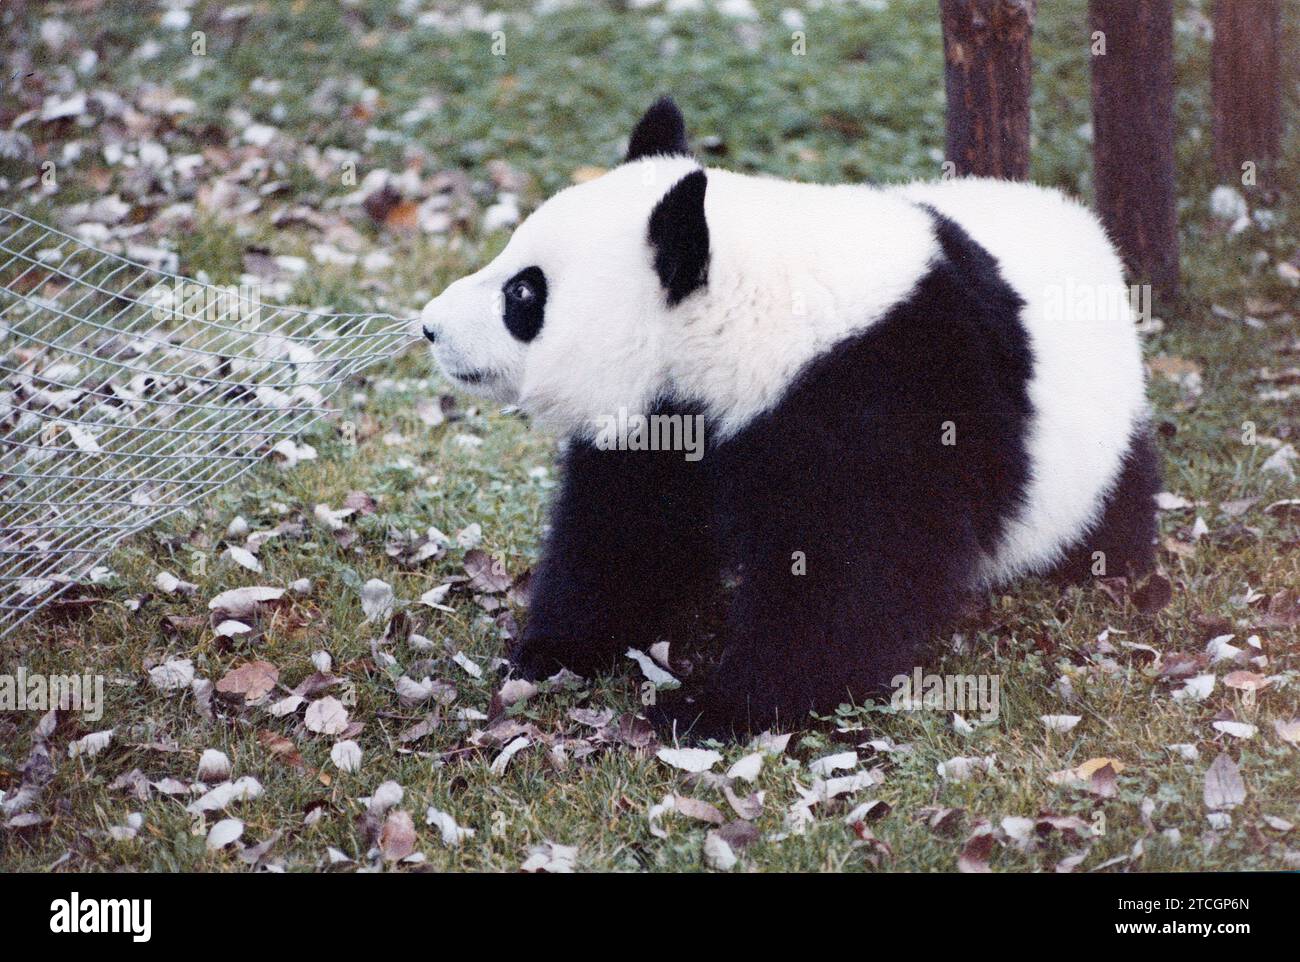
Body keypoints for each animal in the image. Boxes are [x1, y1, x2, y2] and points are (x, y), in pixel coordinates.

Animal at [421, 98, 1160, 741]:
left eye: (524, 293)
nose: (430, 326)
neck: (751, 314)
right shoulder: (670, 417)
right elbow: (622, 528)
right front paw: (553, 651)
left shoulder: (877, 395)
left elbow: (849, 576)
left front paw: (717, 708)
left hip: (1094, 439)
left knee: (1112, 503)